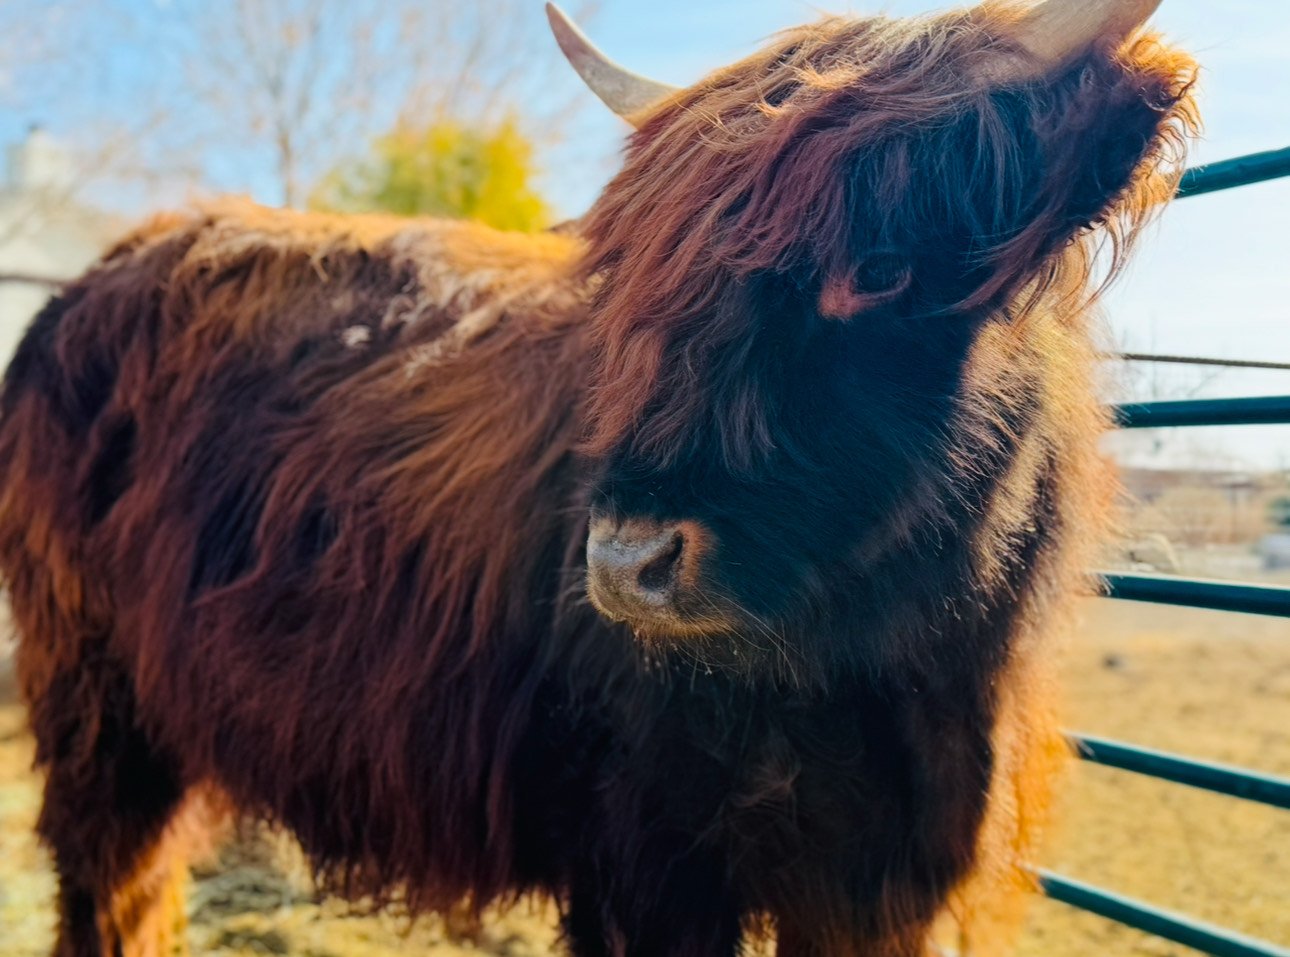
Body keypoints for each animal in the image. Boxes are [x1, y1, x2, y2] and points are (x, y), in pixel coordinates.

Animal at [0, 1, 1196, 954]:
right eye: (637, 282)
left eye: (883, 268)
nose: (627, 561)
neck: (881, 663)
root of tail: (89, 287)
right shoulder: (645, 863)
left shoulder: (890, 878)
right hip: (92, 697)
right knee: (107, 879)